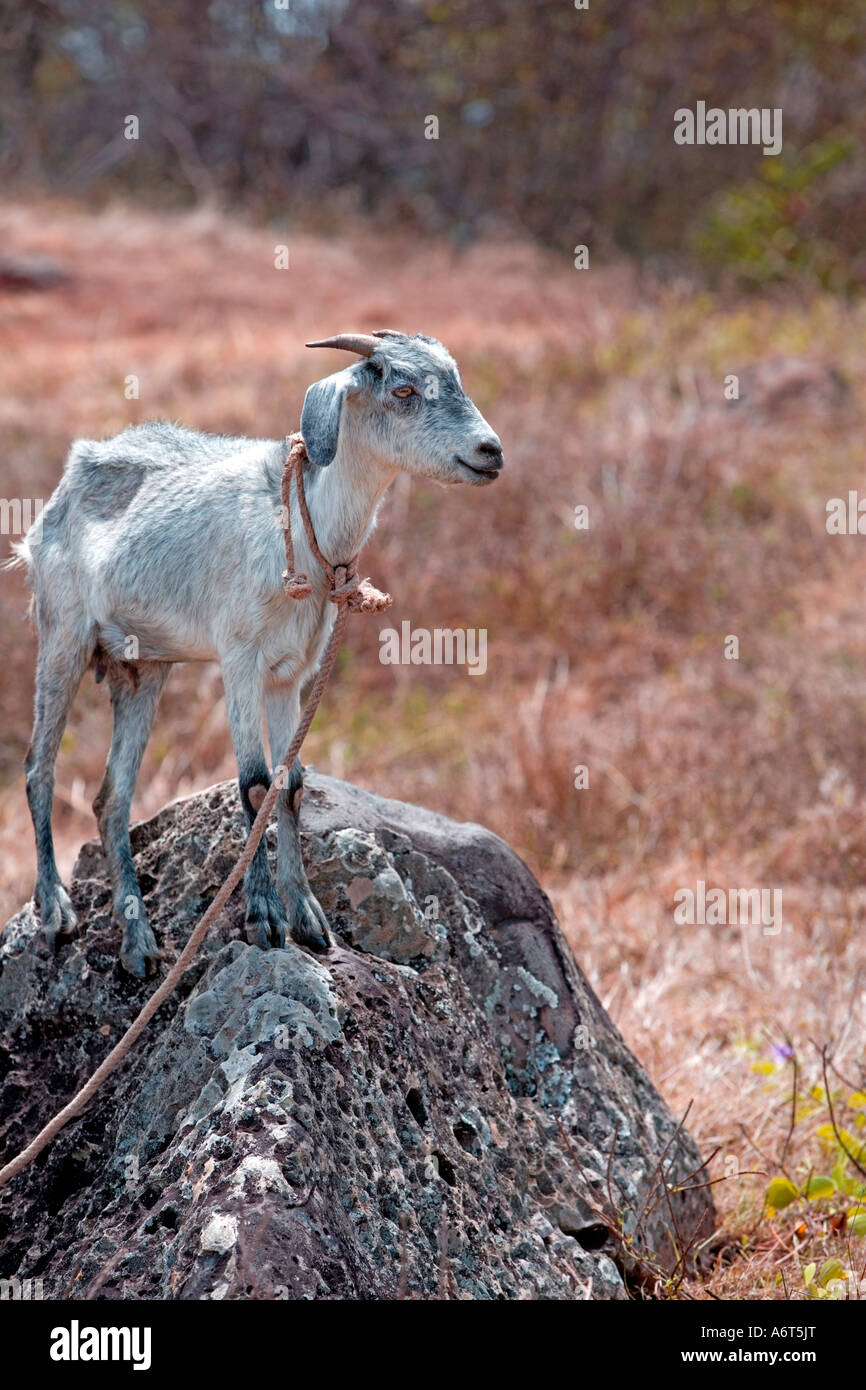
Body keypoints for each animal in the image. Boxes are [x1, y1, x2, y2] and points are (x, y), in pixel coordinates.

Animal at [14, 330, 504, 977]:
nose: (491, 450)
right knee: (38, 770)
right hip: (62, 636)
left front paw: (309, 918)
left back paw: (138, 942)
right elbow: (252, 783)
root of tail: (70, 478)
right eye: (403, 390)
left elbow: (289, 786)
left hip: (142, 668)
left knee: (111, 798)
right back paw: (55, 912)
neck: (296, 523)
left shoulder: (289, 674)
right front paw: (265, 918)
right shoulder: (240, 660)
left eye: (457, 380)